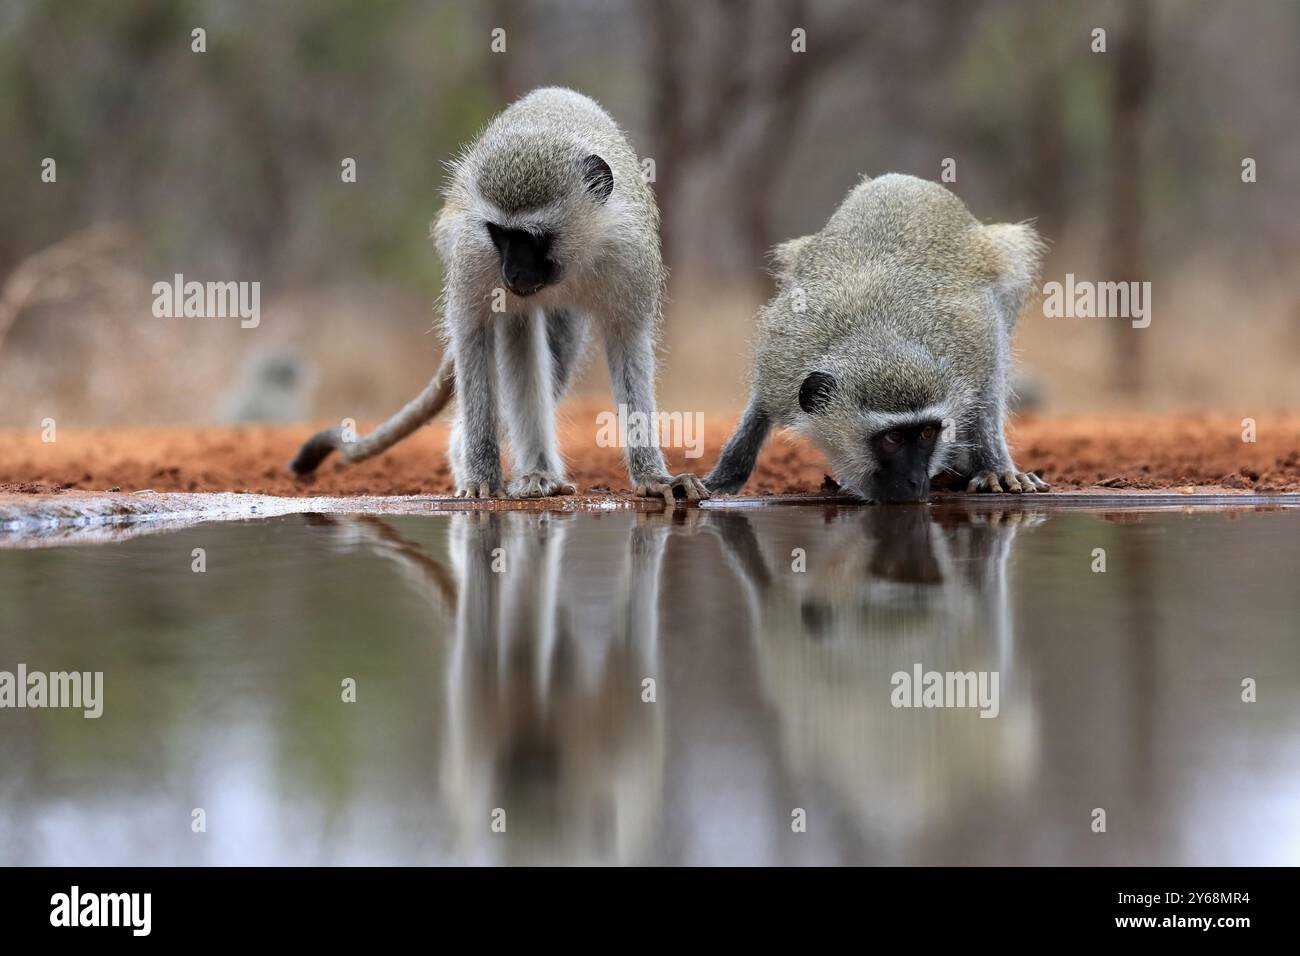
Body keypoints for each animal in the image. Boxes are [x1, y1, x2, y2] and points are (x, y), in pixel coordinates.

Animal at [289, 87, 708, 505]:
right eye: (501, 234)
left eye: (531, 238)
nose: (512, 273)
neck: (577, 253)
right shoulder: (476, 252)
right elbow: (472, 334)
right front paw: (481, 474)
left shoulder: (628, 254)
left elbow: (627, 342)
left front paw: (652, 477)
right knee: (519, 333)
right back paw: (518, 468)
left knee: (556, 350)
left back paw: (536, 471)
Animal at [704, 173, 1050, 503]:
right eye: (893, 438)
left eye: (927, 433)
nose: (916, 482)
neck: (876, 333)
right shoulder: (782, 359)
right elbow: (760, 406)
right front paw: (725, 475)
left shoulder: (976, 340)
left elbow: (988, 387)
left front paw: (994, 468)